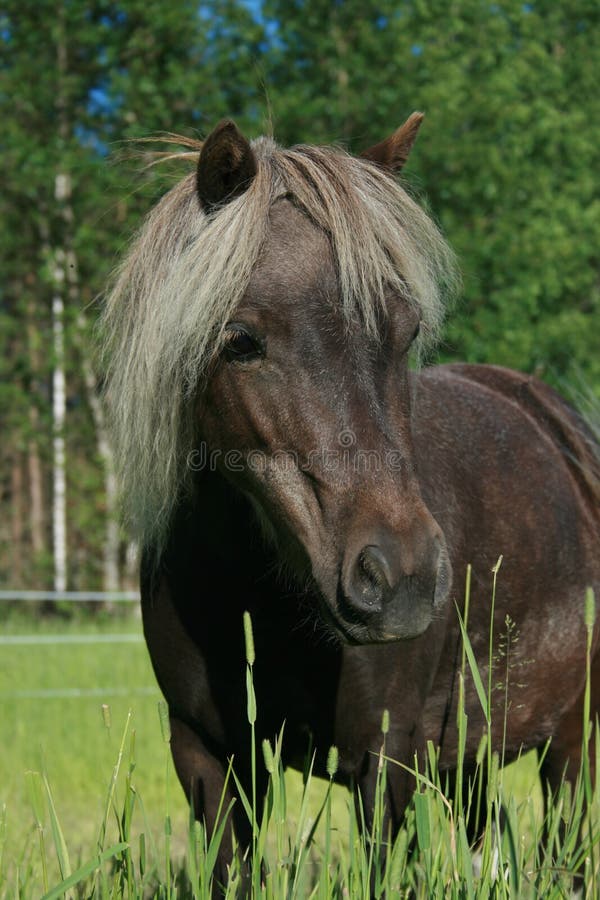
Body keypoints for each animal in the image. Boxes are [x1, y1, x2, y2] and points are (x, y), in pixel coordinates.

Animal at [103, 113, 600, 890]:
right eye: (239, 340)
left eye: (405, 331)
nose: (402, 580)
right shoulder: (209, 757)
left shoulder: (383, 762)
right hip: (469, 753)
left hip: (570, 743)